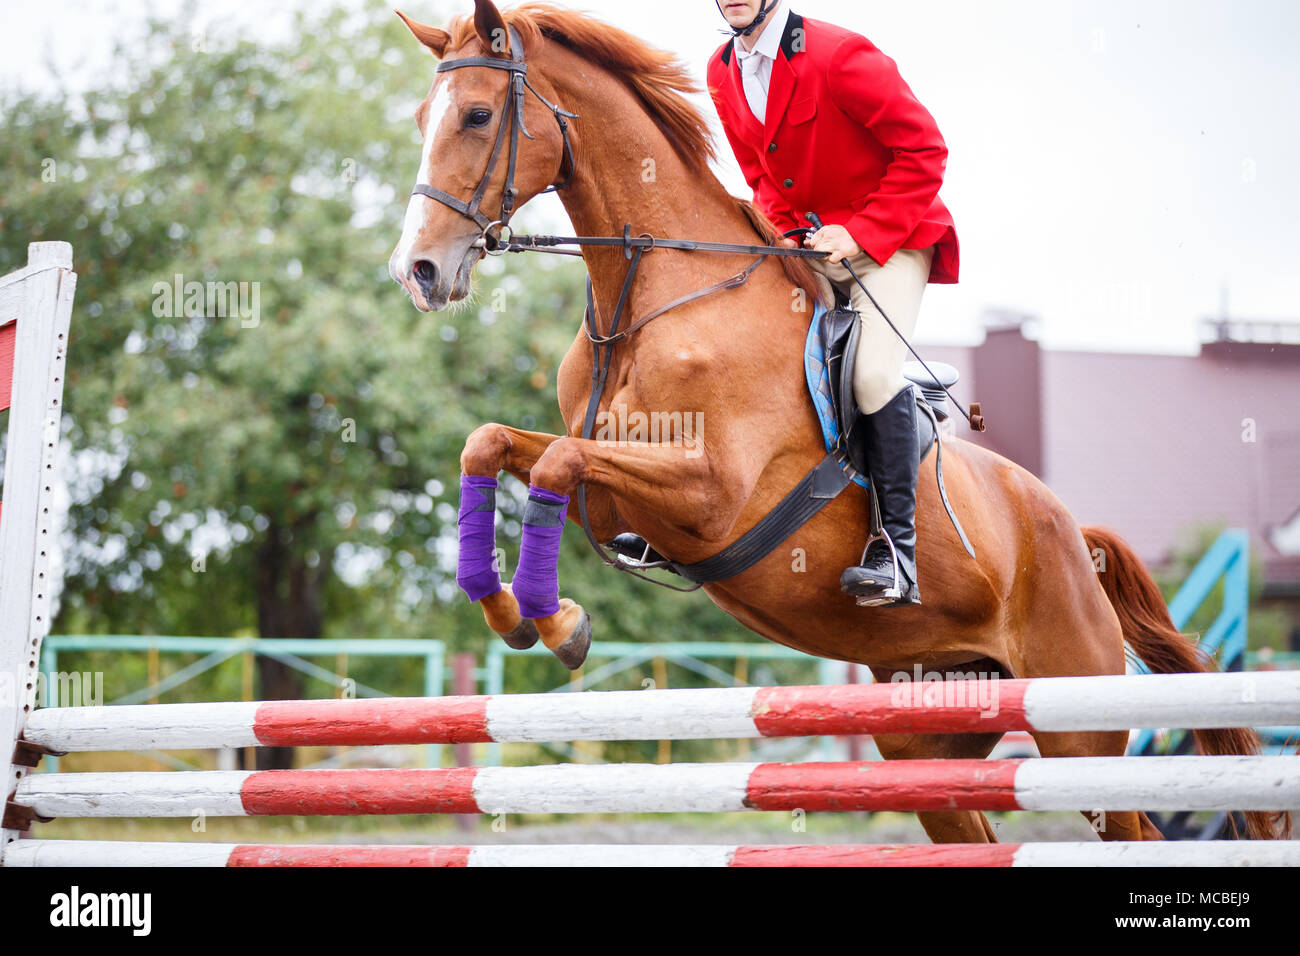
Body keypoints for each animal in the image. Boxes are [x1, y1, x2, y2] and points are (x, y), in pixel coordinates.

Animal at [387, 0, 1287, 844]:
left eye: (477, 116)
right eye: (423, 120)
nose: (418, 271)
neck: (652, 299)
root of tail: (1076, 537)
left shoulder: (710, 495)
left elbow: (554, 463)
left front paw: (559, 621)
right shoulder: (613, 488)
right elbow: (496, 444)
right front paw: (512, 612)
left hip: (1076, 722)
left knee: (1128, 821)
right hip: (929, 732)